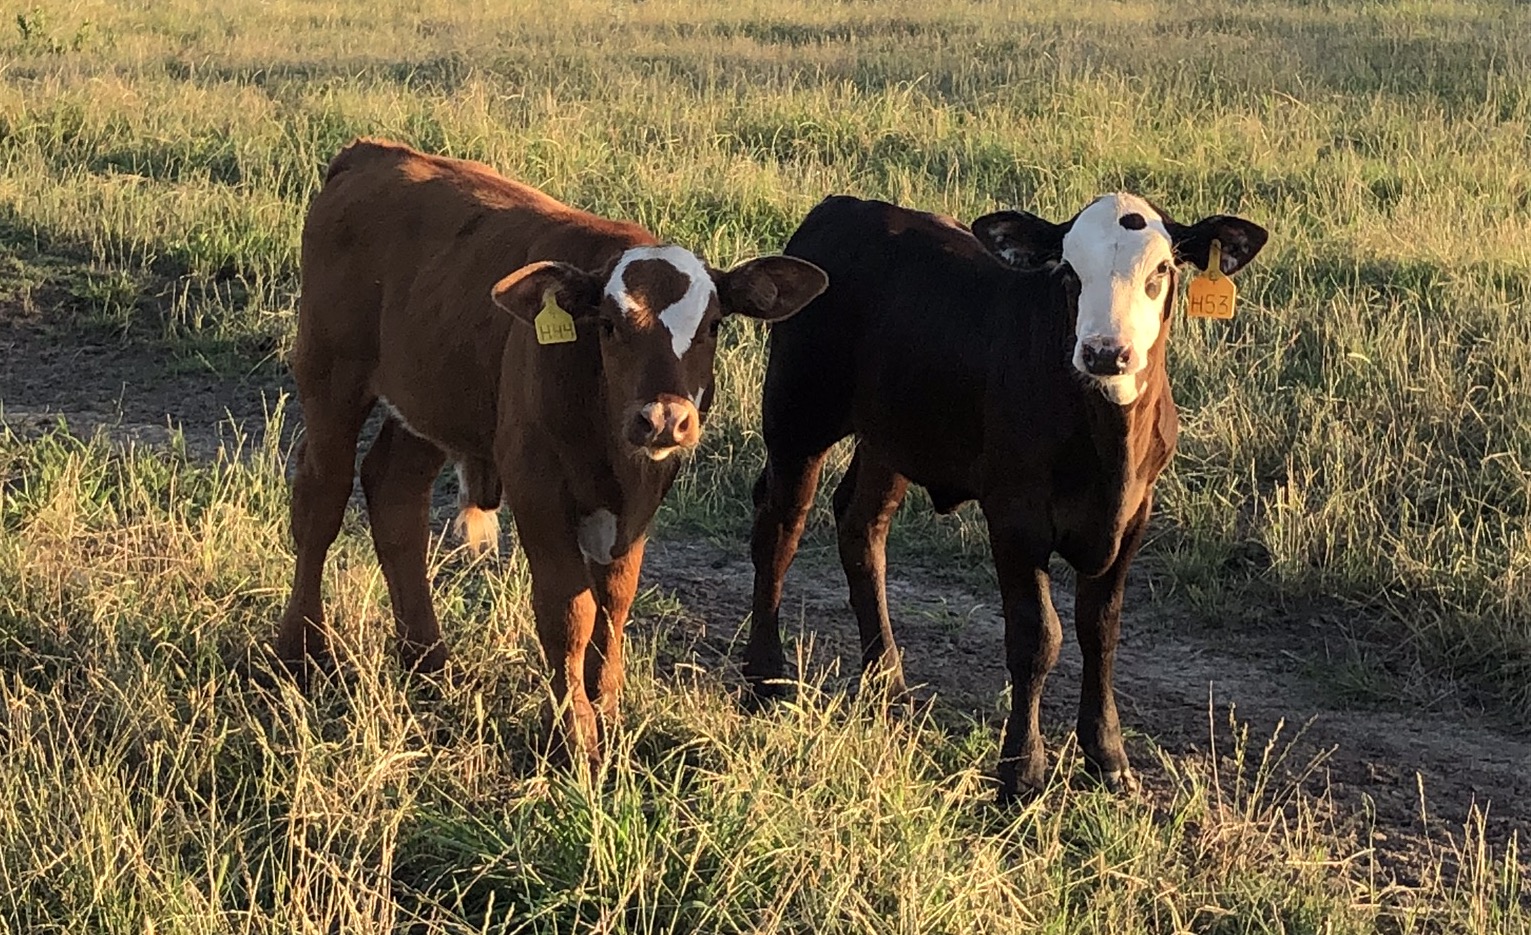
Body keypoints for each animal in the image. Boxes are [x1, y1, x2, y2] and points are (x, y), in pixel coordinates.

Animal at [274, 138, 827, 766]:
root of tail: (371, 154)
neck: (609, 441)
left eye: (712, 325)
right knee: (320, 500)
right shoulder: (536, 483)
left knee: (396, 497)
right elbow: (569, 610)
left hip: (428, 402)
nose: (665, 419)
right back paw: (301, 650)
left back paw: (428, 661)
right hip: (331, 379)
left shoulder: (641, 500)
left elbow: (614, 603)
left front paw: (607, 710)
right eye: (608, 325)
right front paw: (574, 732)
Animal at [743, 193, 1267, 800]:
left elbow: (1101, 630)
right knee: (779, 531)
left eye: (1161, 270)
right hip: (798, 416)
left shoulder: (1135, 513)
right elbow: (1037, 636)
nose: (1105, 353)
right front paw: (1022, 771)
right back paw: (765, 676)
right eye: (1069, 273)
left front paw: (1108, 758)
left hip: (893, 436)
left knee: (861, 527)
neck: (1108, 449)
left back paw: (887, 682)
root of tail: (841, 207)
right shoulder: (1016, 515)